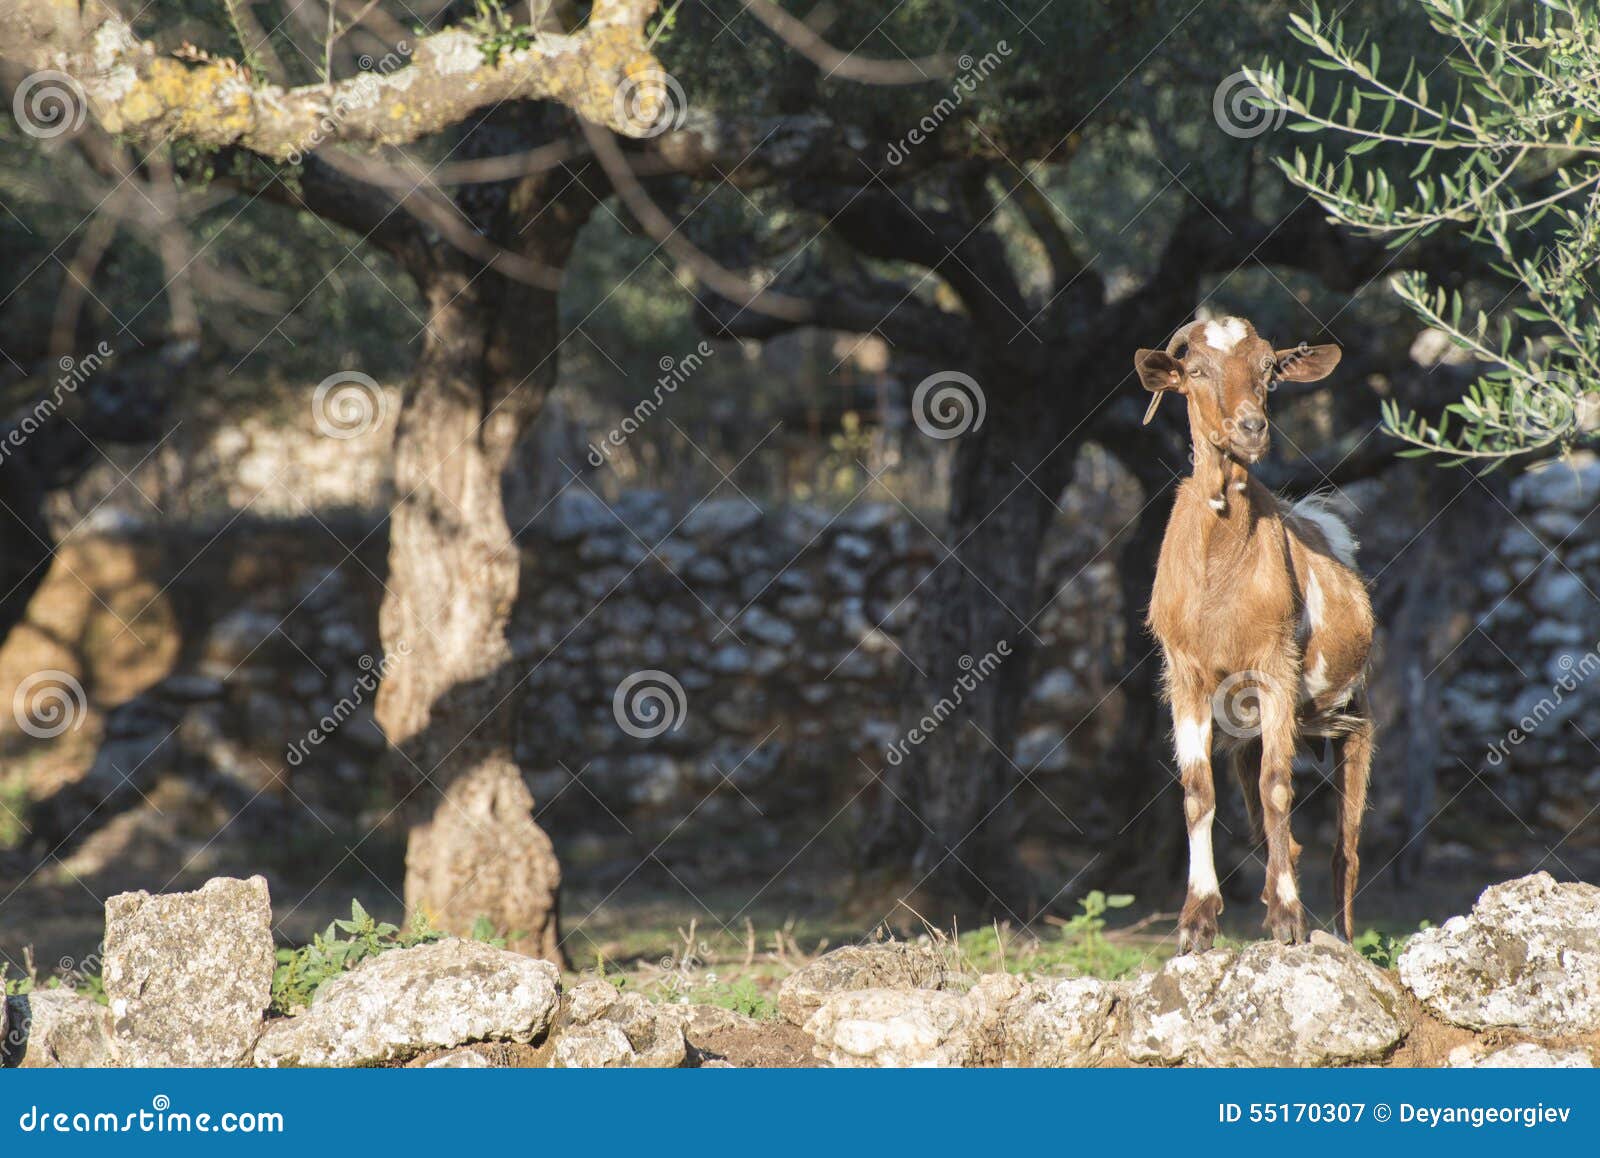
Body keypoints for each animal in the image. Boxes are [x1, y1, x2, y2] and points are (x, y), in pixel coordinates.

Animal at [1134, 316, 1375, 953]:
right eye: (1195, 370)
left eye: (1268, 369)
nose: (1250, 428)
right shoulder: (1186, 675)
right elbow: (1198, 791)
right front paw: (1196, 922)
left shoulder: (1275, 667)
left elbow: (1277, 788)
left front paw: (1289, 919)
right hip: (1246, 722)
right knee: (1270, 827)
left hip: (1352, 710)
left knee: (1346, 847)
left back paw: (1338, 936)